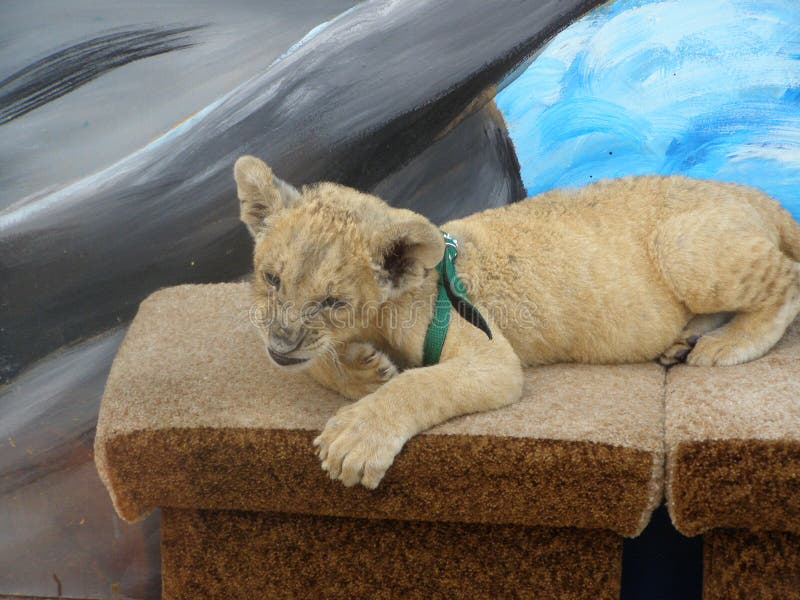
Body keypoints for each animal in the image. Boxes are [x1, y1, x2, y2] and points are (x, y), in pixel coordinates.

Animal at [234, 155, 800, 489]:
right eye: (271, 278)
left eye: (333, 301)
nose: (280, 344)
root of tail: (760, 196)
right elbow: (318, 364)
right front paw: (367, 371)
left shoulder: (490, 352)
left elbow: (418, 384)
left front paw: (355, 437)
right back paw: (685, 340)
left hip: (682, 245)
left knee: (789, 278)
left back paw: (725, 344)